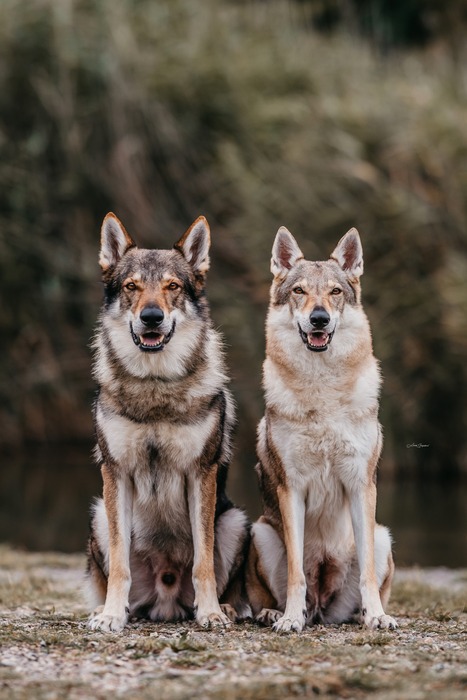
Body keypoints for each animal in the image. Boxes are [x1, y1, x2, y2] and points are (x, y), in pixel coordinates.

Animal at [86, 213, 250, 632]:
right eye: (132, 287)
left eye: (172, 286)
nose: (151, 317)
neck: (155, 386)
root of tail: (166, 600)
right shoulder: (116, 474)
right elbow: (120, 566)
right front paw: (111, 615)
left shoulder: (201, 474)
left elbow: (204, 561)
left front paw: (210, 613)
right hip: (99, 515)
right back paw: (109, 610)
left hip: (235, 521)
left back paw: (224, 609)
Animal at [246, 226, 397, 633]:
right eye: (300, 291)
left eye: (335, 292)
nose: (319, 319)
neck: (322, 388)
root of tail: (321, 609)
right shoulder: (292, 489)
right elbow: (296, 571)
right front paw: (289, 620)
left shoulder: (361, 485)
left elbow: (367, 576)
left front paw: (377, 616)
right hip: (260, 533)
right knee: (272, 594)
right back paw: (278, 613)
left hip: (382, 535)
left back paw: (364, 614)